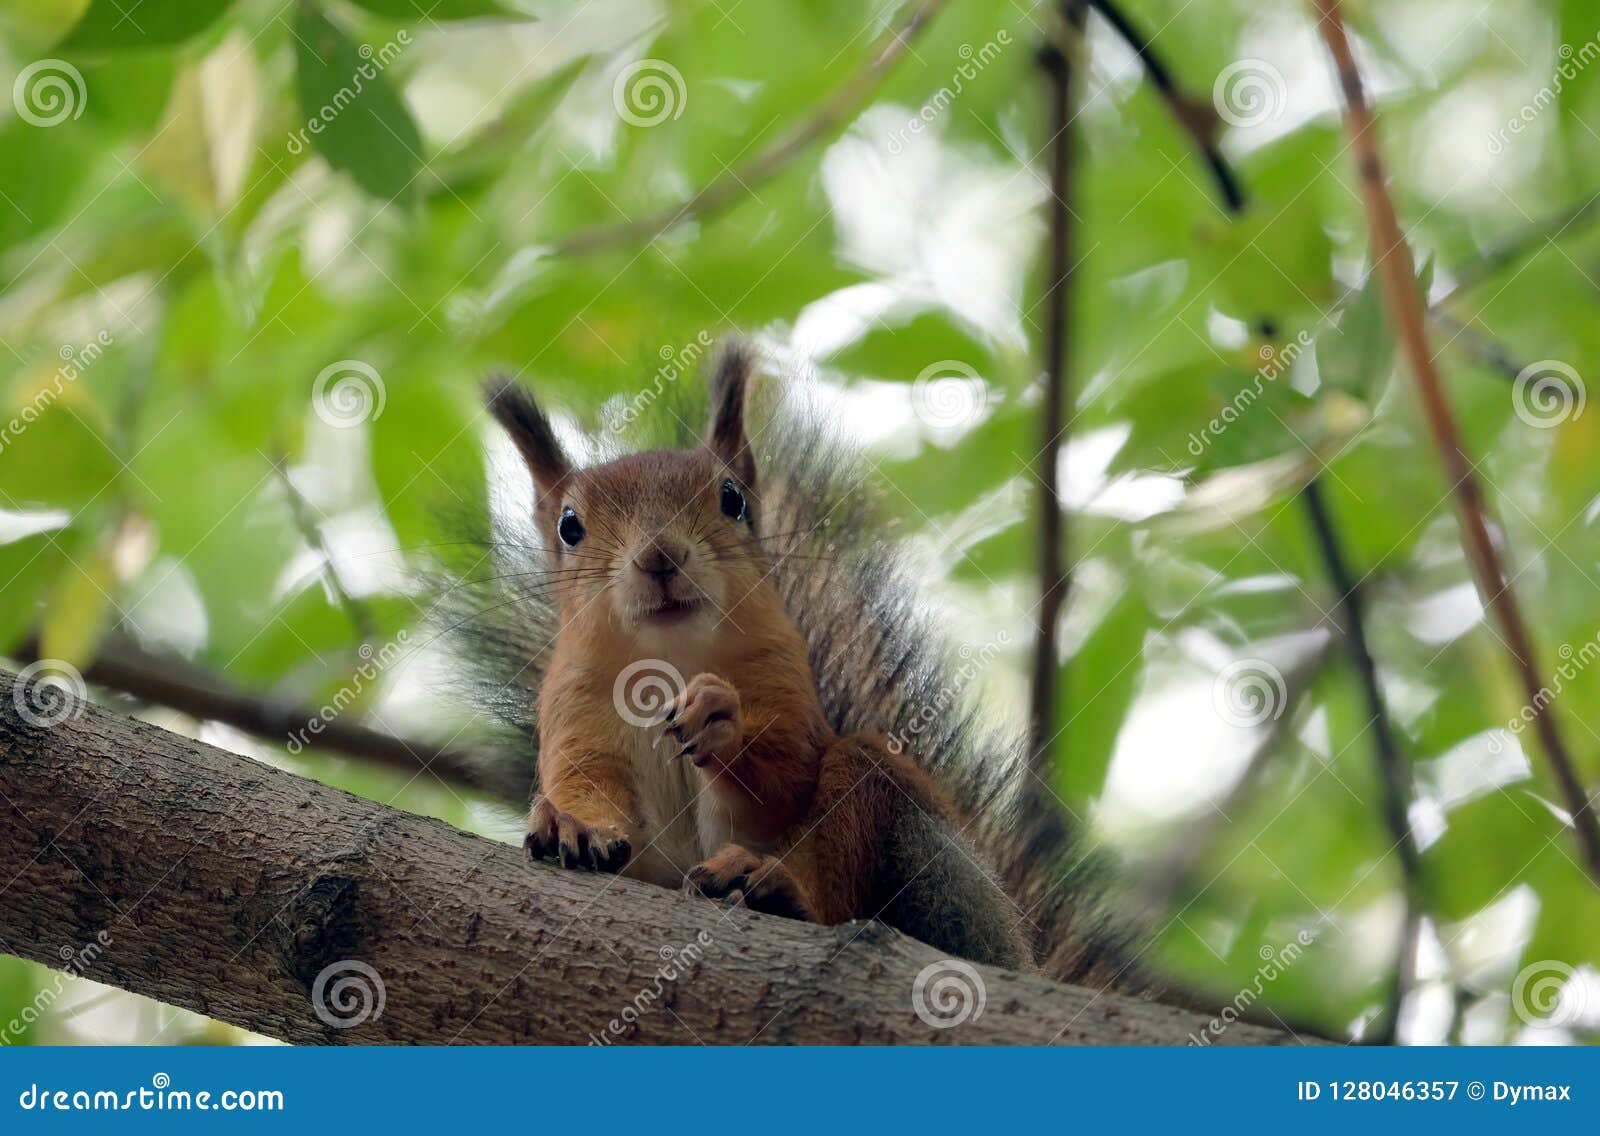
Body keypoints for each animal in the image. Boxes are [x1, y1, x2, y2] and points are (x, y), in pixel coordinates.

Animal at [468, 342, 1140, 984]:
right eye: (569, 525)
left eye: (732, 499)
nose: (659, 555)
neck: (669, 659)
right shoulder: (576, 707)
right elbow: (589, 785)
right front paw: (570, 824)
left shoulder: (781, 673)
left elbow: (784, 777)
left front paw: (724, 720)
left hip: (920, 848)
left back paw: (777, 890)